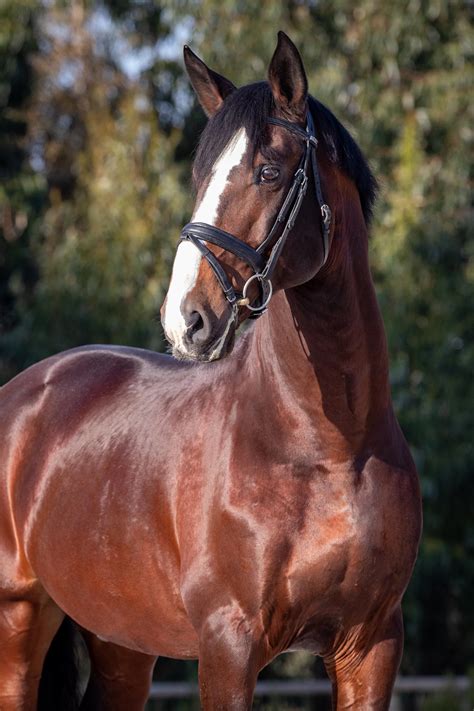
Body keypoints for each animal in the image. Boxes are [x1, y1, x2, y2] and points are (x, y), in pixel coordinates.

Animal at [0, 32, 422, 710]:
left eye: (270, 172)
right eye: (200, 176)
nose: (185, 321)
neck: (330, 446)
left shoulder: (372, 646)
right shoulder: (228, 646)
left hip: (121, 641)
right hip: (17, 622)